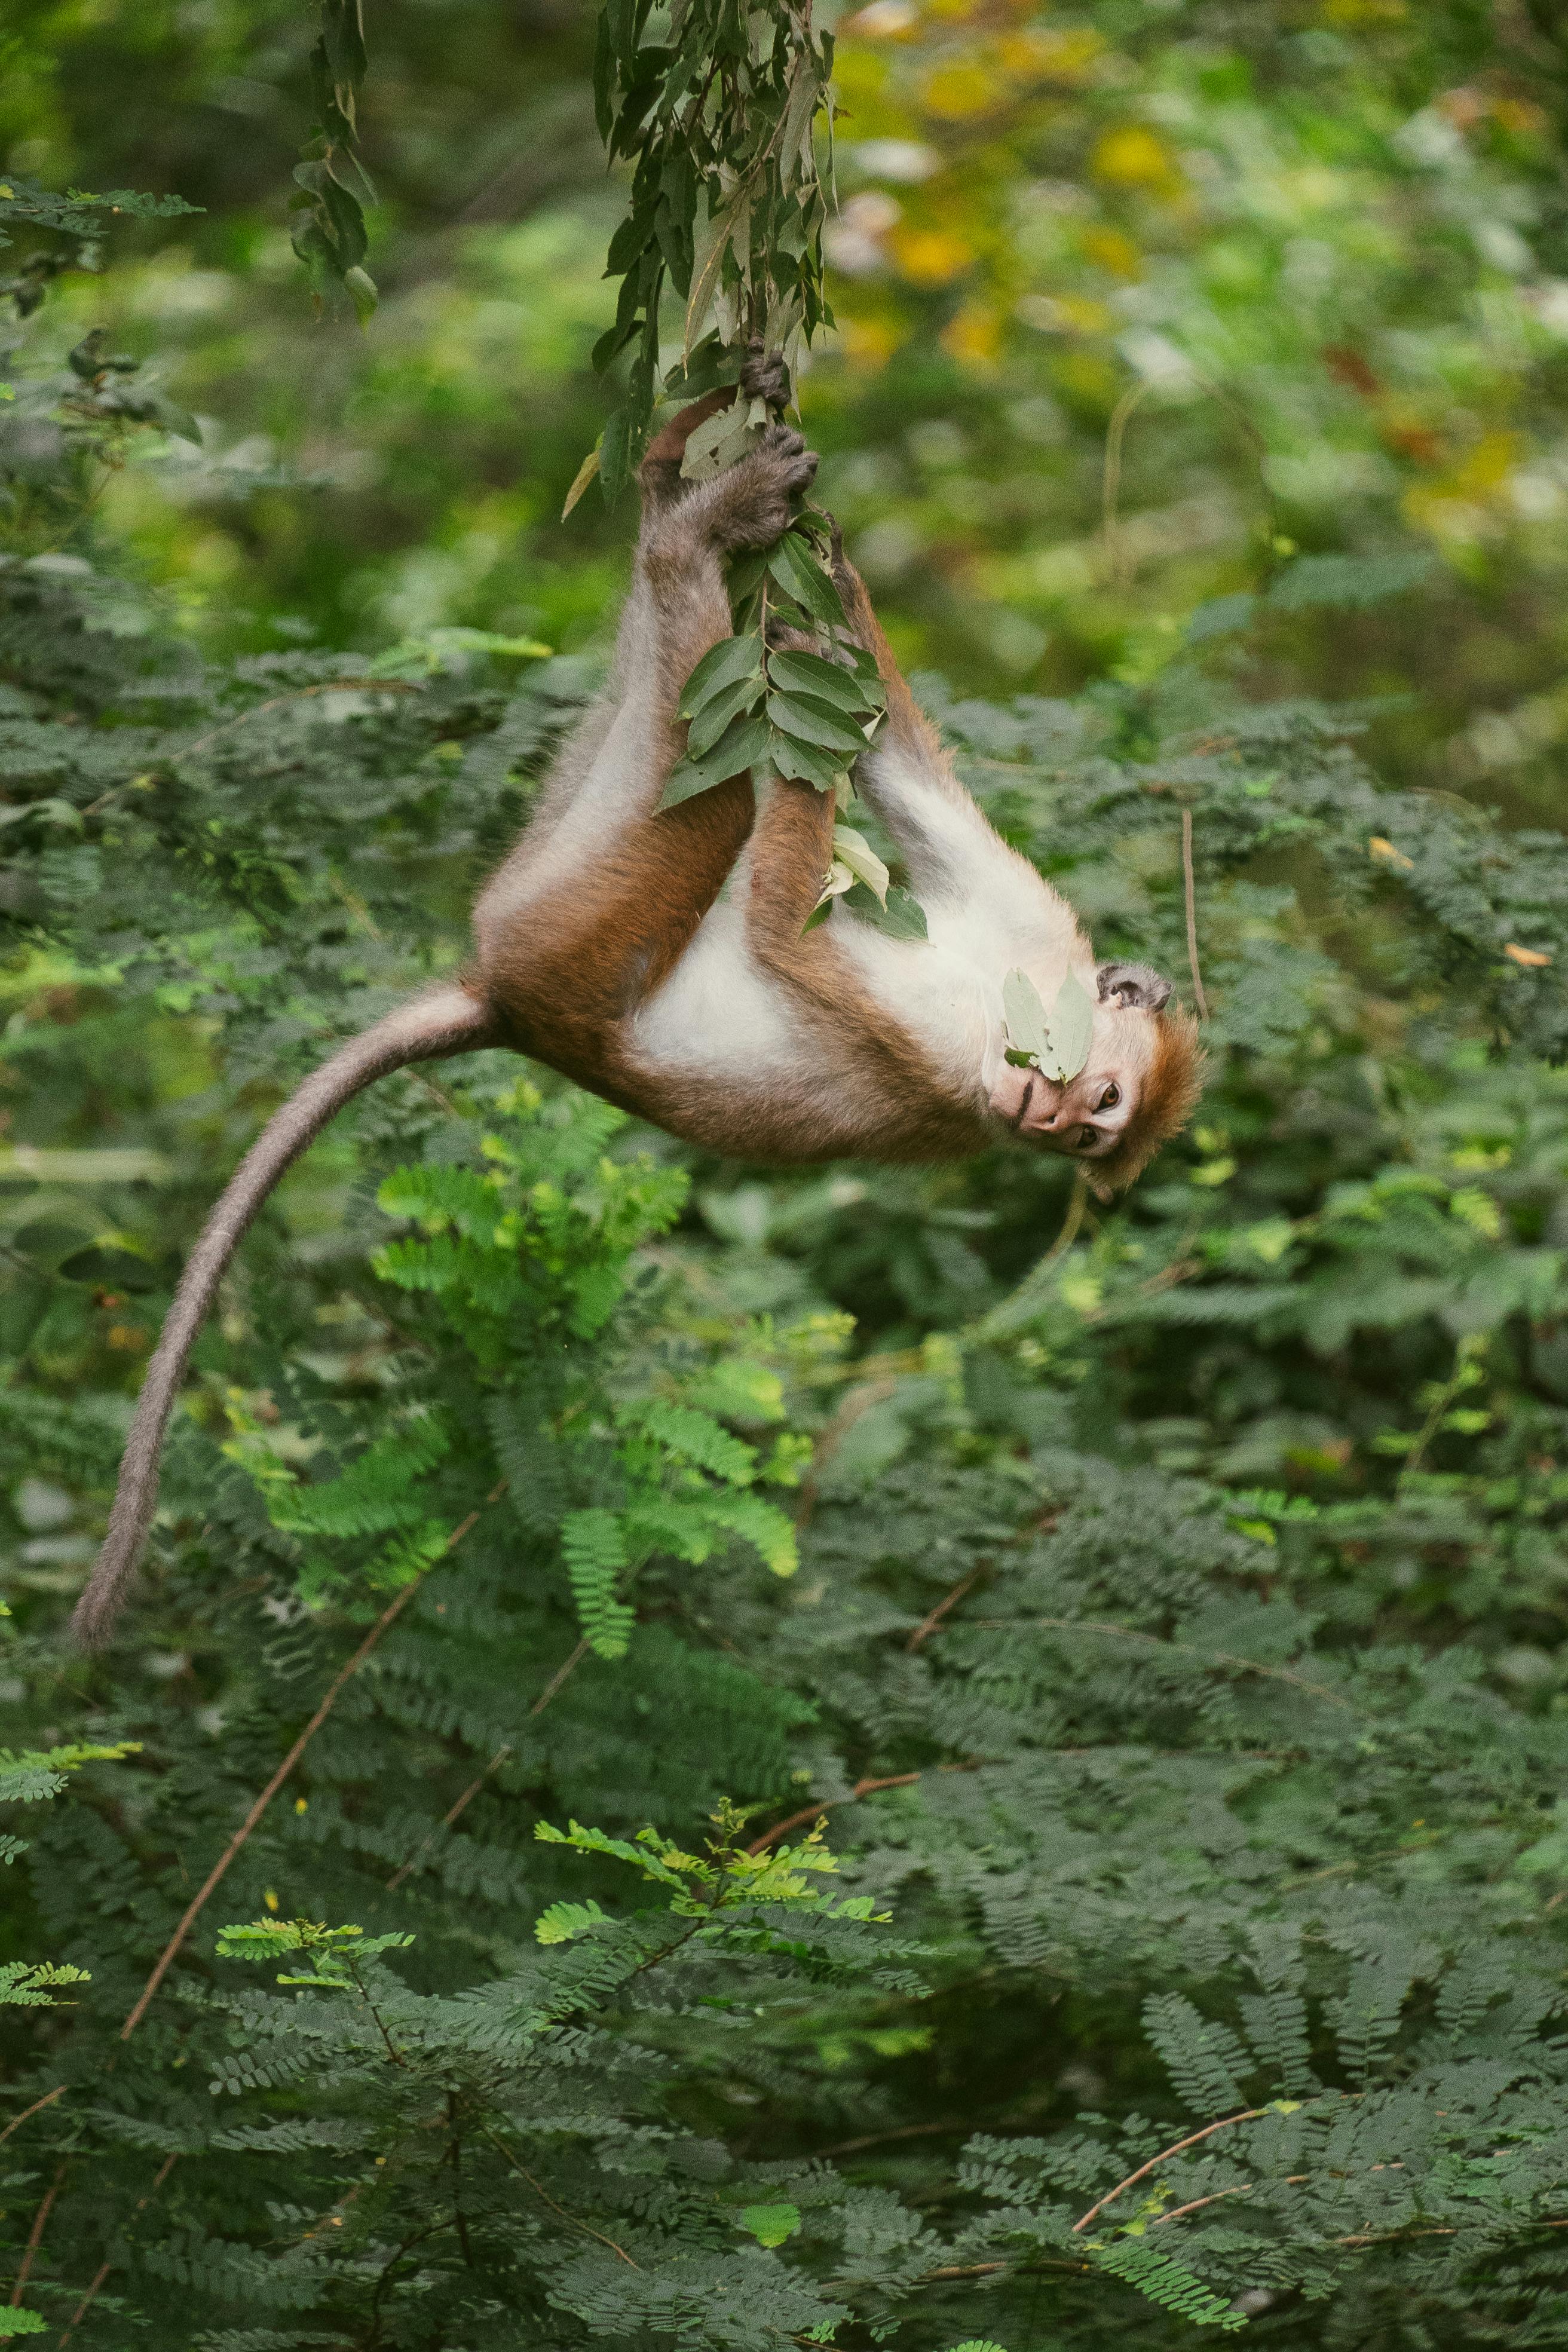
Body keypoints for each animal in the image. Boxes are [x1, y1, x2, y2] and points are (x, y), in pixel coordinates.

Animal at [71, 355, 1202, 1646]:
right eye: (1101, 1104)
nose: (1050, 1120)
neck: (994, 1010)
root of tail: (502, 1007)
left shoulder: (937, 1070)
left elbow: (782, 935)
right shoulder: (1029, 929)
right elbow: (907, 777)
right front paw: (826, 591)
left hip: (578, 920)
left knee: (702, 798)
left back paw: (687, 541)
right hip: (559, 858)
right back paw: (681, 488)